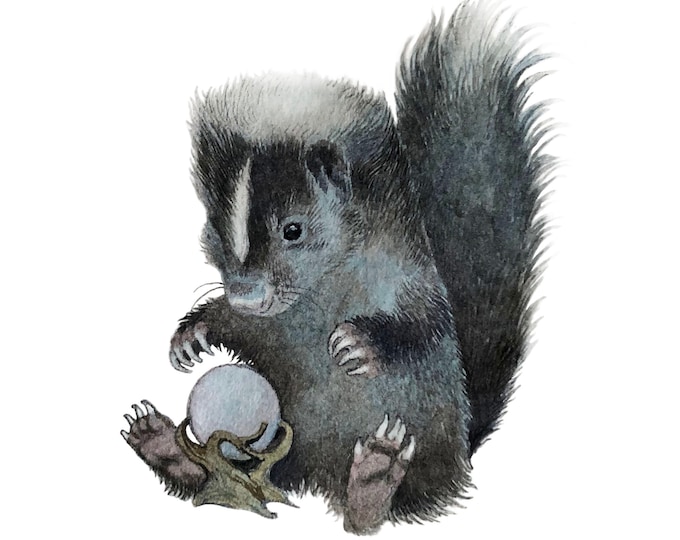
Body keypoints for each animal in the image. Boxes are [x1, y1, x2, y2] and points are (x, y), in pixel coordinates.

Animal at [123, 1, 554, 534]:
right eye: (215, 232)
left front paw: (357, 343)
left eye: (293, 230)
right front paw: (192, 334)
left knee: (375, 512)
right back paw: (163, 445)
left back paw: (375, 476)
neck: (319, 294)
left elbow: (424, 322)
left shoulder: (406, 274)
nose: (247, 293)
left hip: (424, 436)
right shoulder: (270, 326)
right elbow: (241, 327)